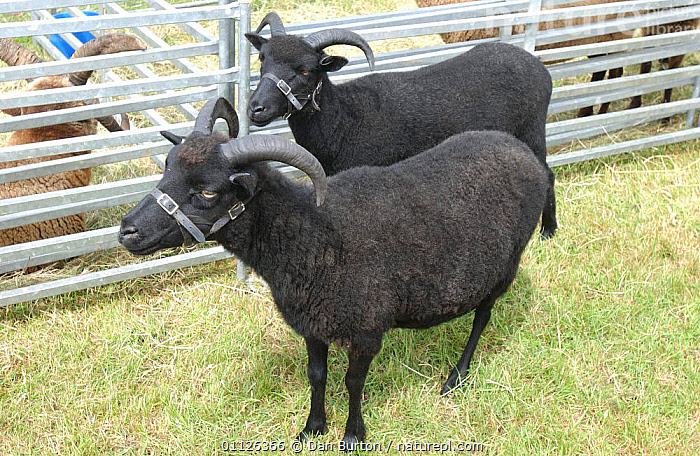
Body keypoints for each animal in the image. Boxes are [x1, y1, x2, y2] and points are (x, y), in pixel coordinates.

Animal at [119, 97, 549, 445]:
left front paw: (353, 435)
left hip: (505, 267)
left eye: (208, 192)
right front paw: (311, 428)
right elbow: (317, 375)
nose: (127, 230)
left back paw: (456, 377)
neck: (309, 238)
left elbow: (353, 382)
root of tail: (518, 149)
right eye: (167, 169)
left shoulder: (367, 329)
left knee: (482, 318)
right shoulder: (313, 322)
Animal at [245, 13, 558, 238]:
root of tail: (537, 65)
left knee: (547, 173)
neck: (344, 119)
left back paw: (548, 231)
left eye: (305, 71)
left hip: (531, 129)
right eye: (262, 60)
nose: (255, 108)